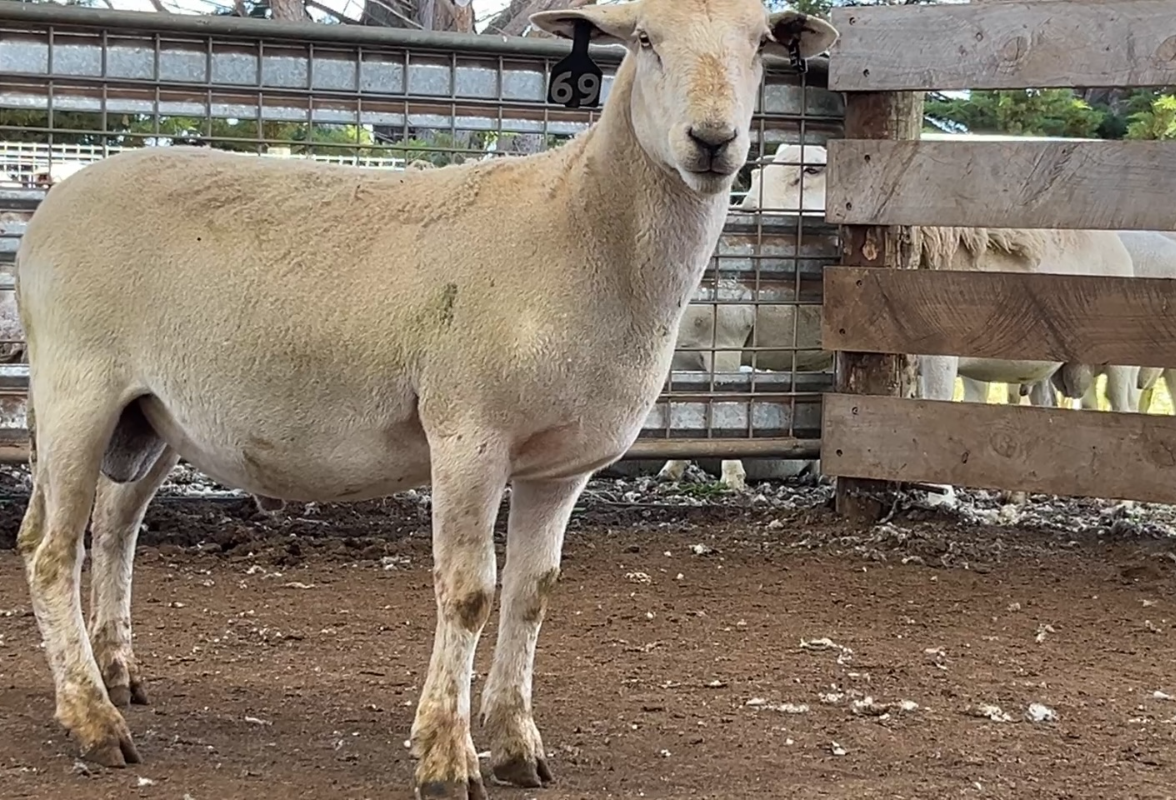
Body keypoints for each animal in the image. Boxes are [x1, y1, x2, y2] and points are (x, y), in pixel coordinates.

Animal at [11, 2, 839, 797]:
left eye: (762, 43)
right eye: (643, 40)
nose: (713, 141)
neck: (578, 221)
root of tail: (55, 205)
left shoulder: (560, 467)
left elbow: (532, 594)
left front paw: (517, 745)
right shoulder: (468, 432)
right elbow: (470, 592)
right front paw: (446, 755)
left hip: (150, 415)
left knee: (113, 528)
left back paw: (115, 674)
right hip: (76, 391)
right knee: (49, 551)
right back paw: (92, 720)